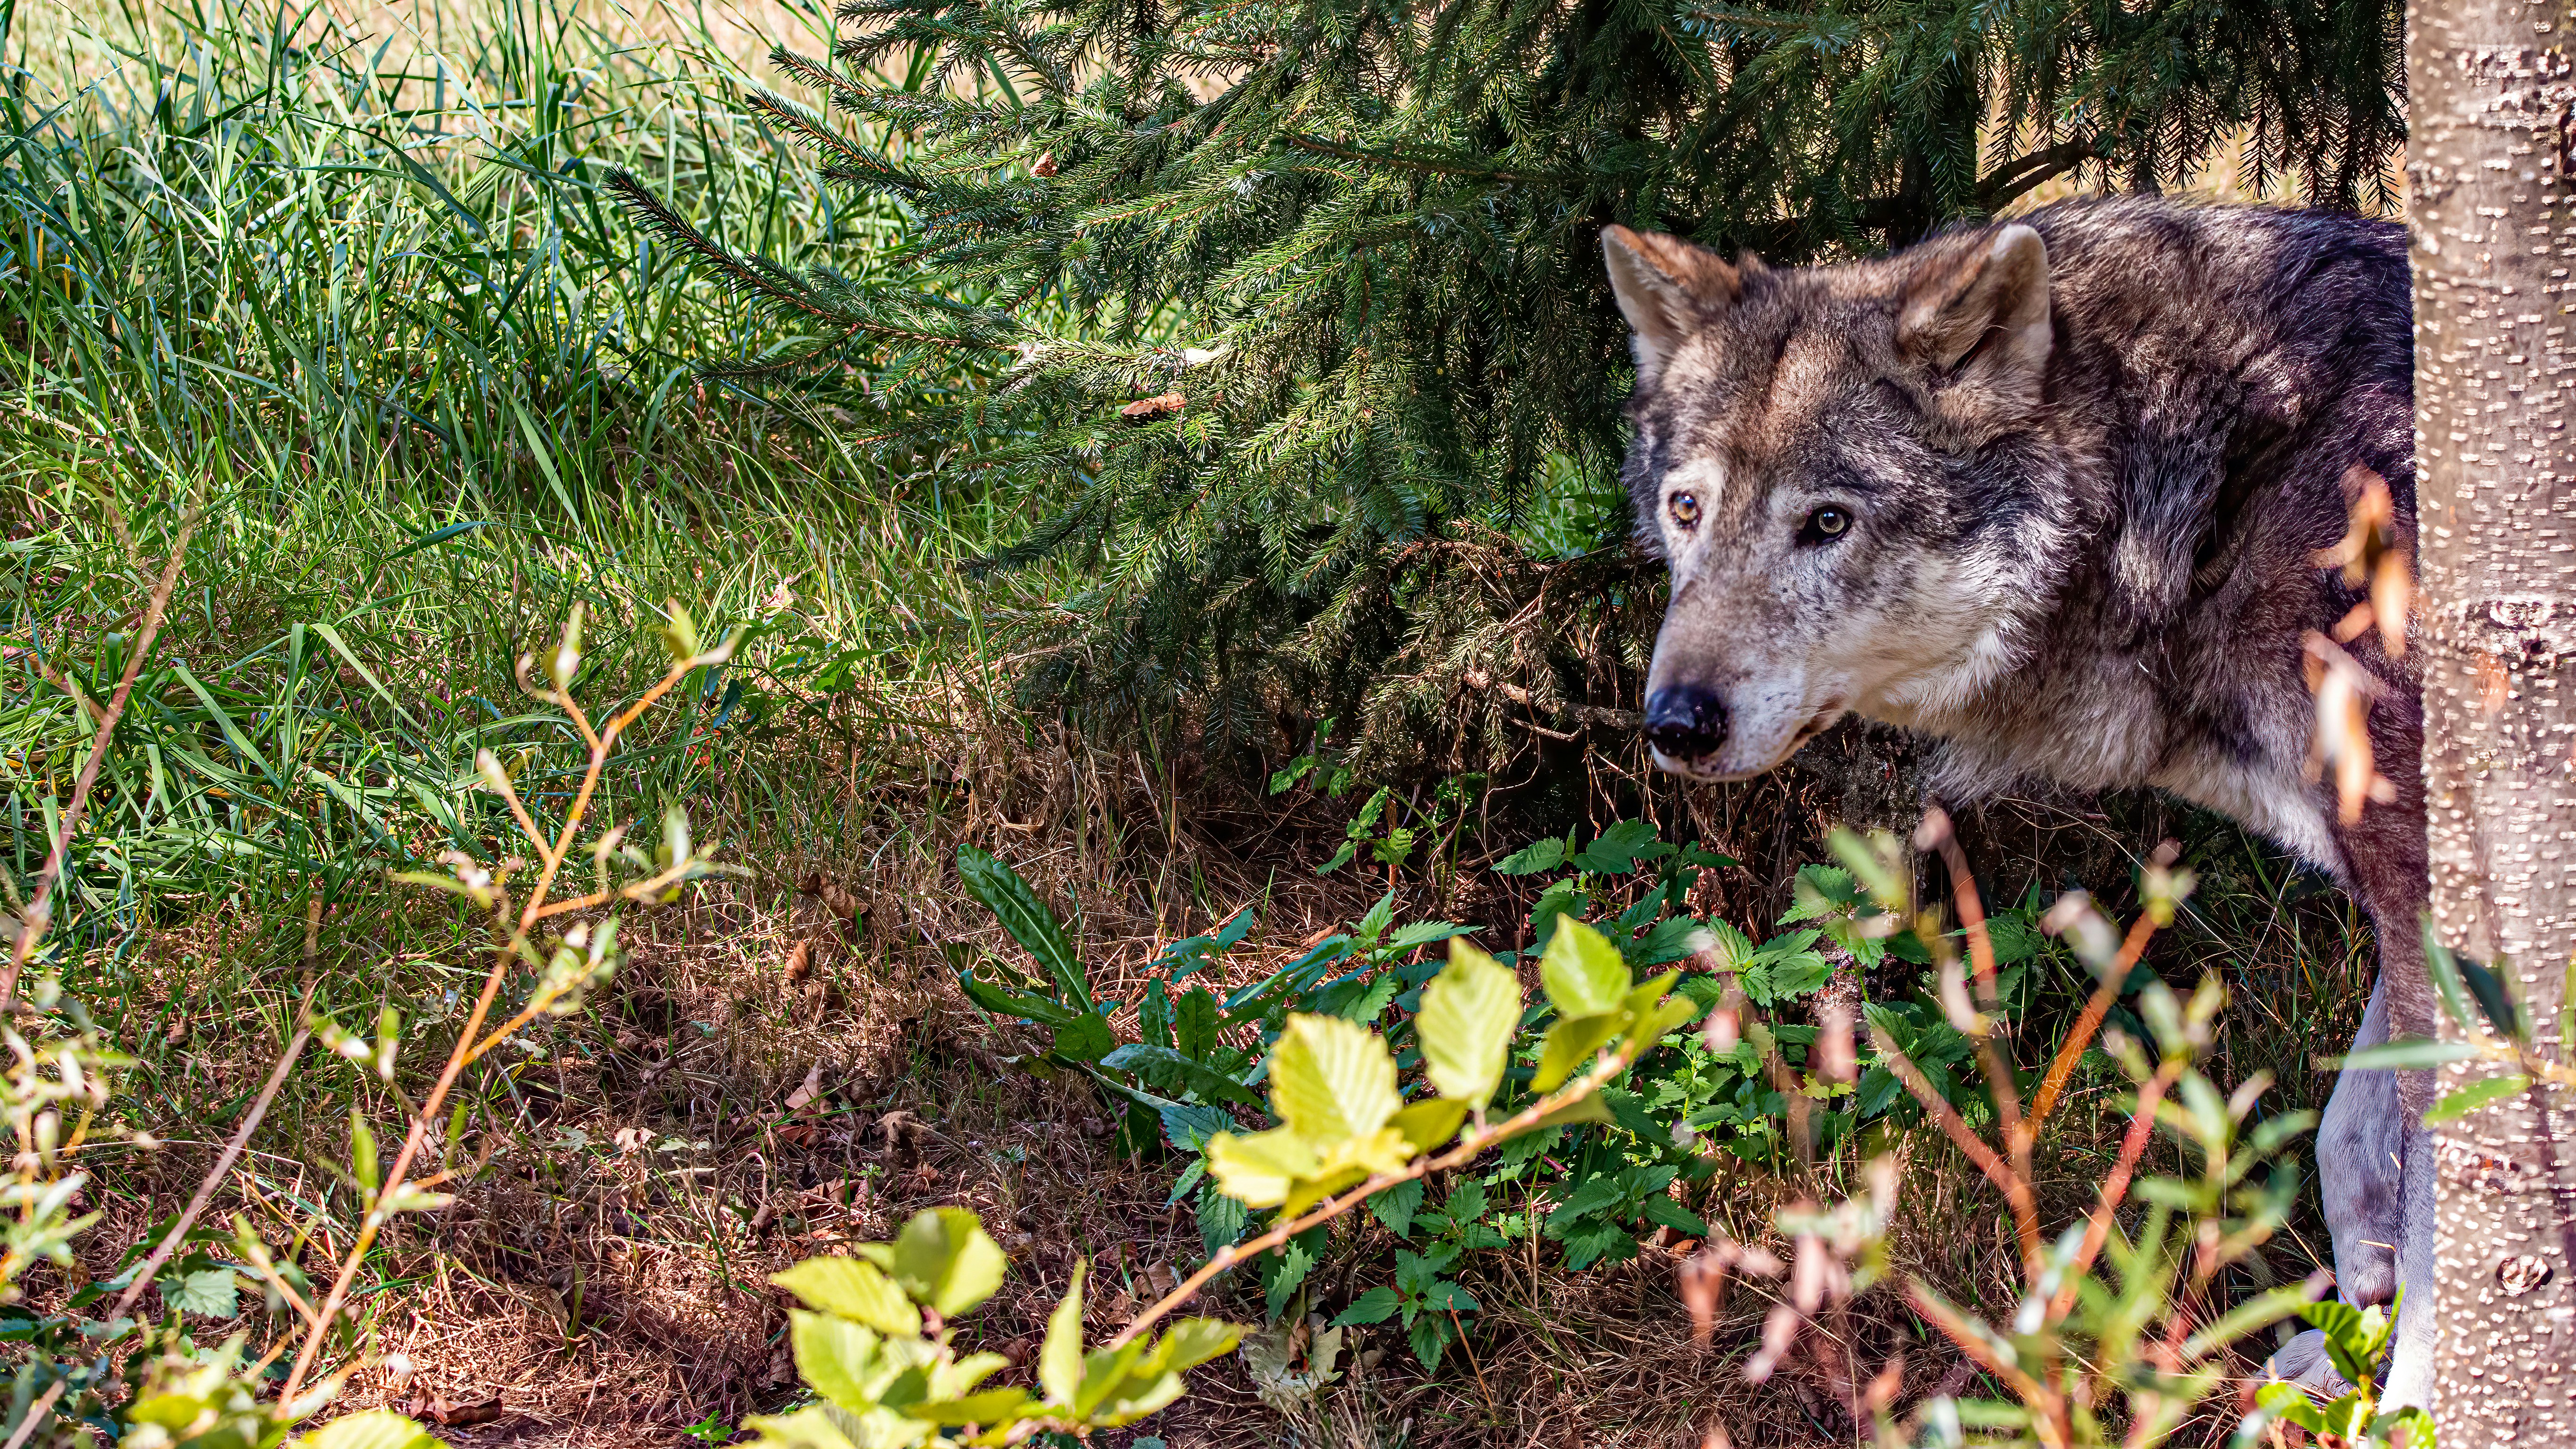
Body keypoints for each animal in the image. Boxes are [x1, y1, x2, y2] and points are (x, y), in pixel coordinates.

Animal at [1603, 197, 2431, 1401]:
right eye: (1685, 510)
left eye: (1827, 523)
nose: (1675, 720)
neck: (2217, 494)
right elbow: (2355, 1133)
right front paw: (2342, 1342)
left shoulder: (2426, 875)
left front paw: (2418, 1395)